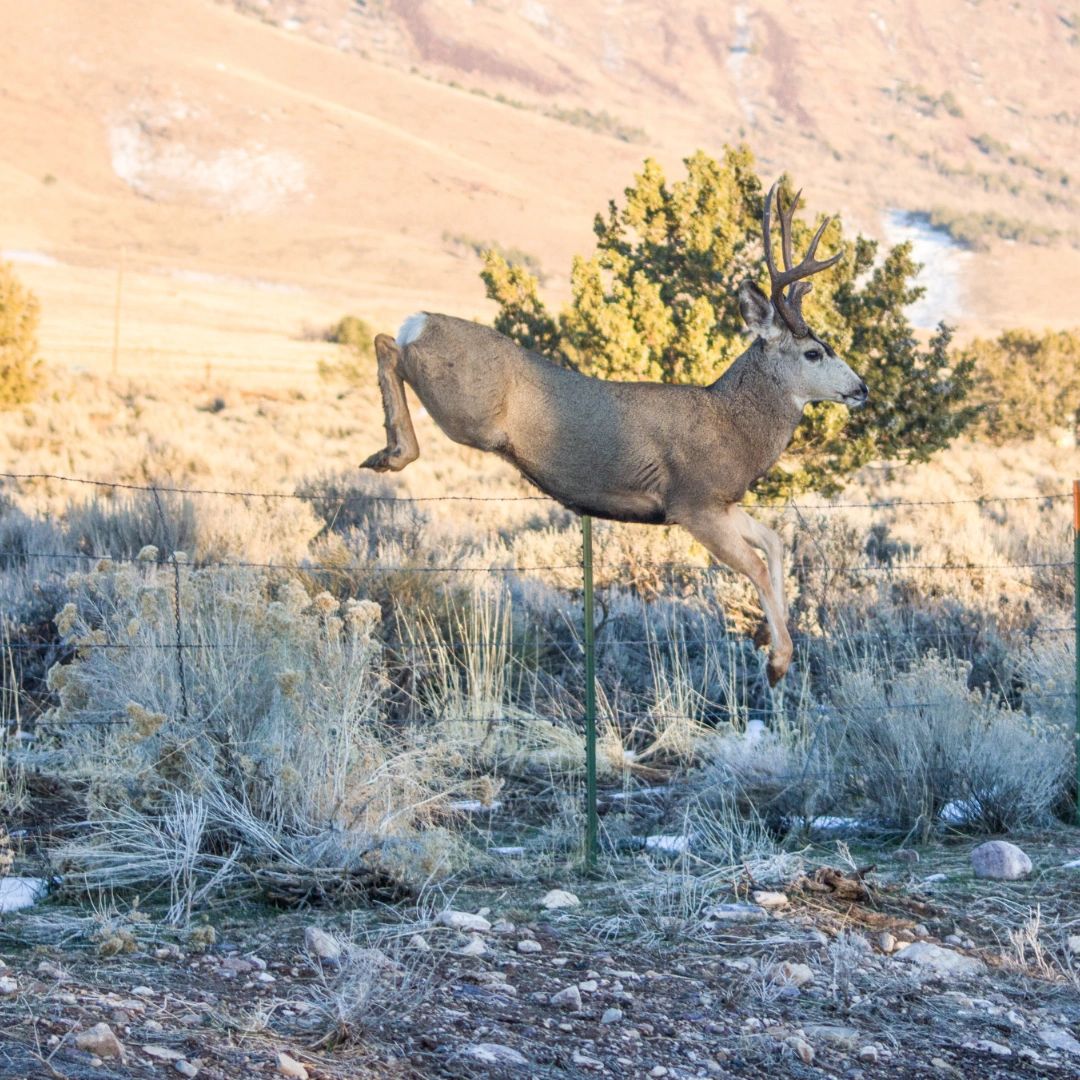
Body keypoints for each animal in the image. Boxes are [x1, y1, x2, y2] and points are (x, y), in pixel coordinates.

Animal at [360, 181, 868, 684]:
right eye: (814, 352)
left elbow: (775, 543)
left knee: (386, 341)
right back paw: (393, 452)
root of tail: (421, 322)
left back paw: (383, 451)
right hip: (466, 410)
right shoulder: (694, 500)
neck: (732, 427)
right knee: (387, 345)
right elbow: (758, 566)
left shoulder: (723, 501)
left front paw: (765, 635)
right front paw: (778, 661)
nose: (861, 388)